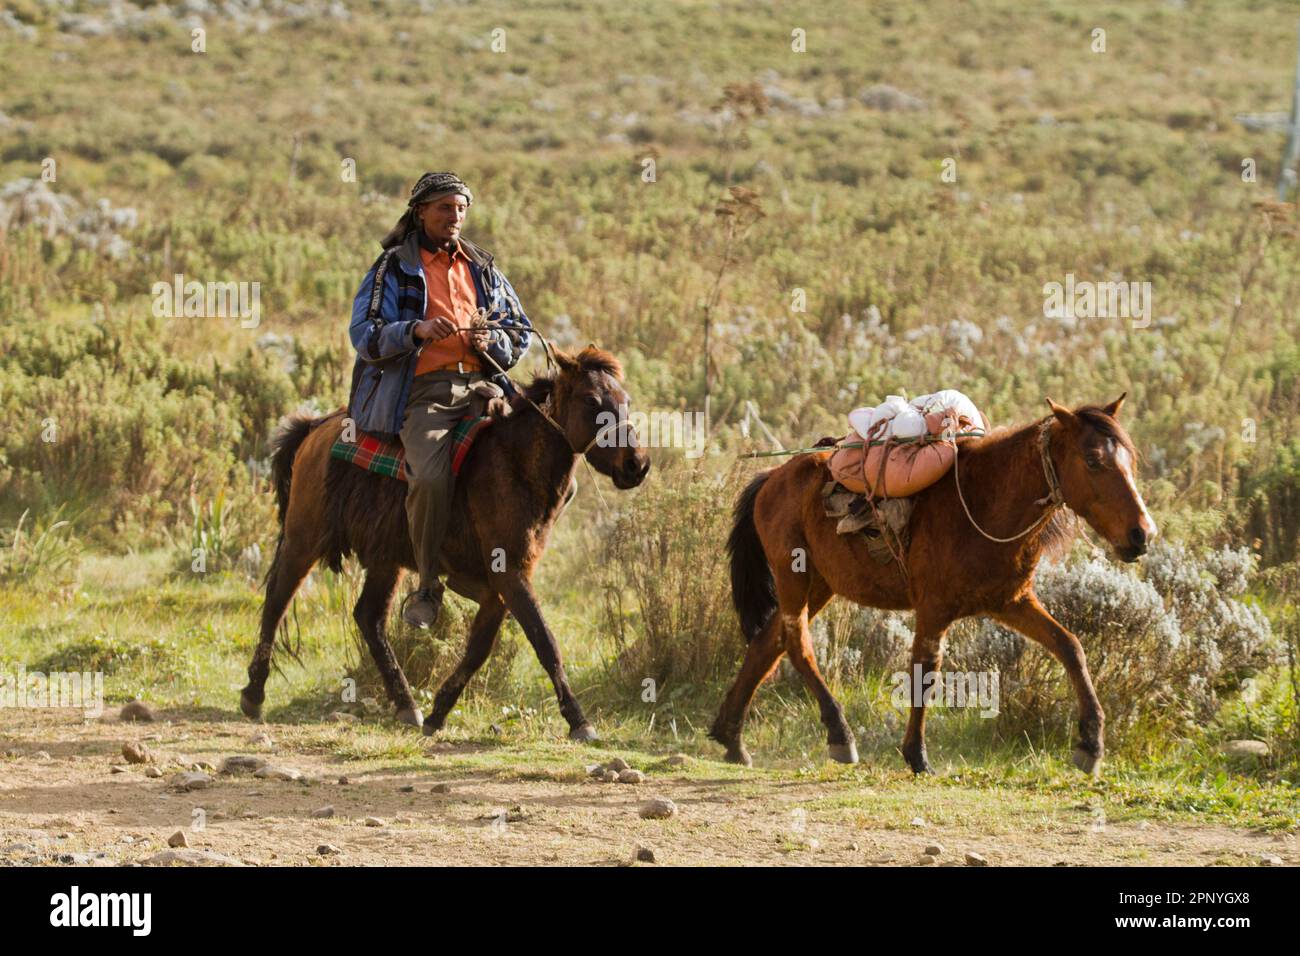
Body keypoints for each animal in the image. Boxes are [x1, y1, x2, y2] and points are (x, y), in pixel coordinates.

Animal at [239, 346, 650, 740]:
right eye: (591, 400)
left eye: (625, 399)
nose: (637, 465)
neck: (515, 463)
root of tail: (315, 426)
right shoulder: (509, 575)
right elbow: (544, 642)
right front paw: (579, 721)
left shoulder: (499, 585)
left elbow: (479, 649)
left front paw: (439, 711)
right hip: (303, 540)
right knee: (277, 601)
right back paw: (254, 695)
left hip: (385, 560)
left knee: (369, 617)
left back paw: (407, 704)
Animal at [710, 394, 1156, 776]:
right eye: (1093, 460)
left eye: (1129, 459)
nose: (1141, 534)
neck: (984, 502)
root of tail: (772, 477)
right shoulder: (934, 609)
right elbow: (925, 672)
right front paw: (916, 755)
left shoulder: (1011, 602)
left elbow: (1070, 647)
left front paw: (1091, 745)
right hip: (794, 576)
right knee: (796, 642)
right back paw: (839, 734)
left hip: (819, 584)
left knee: (768, 642)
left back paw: (731, 739)